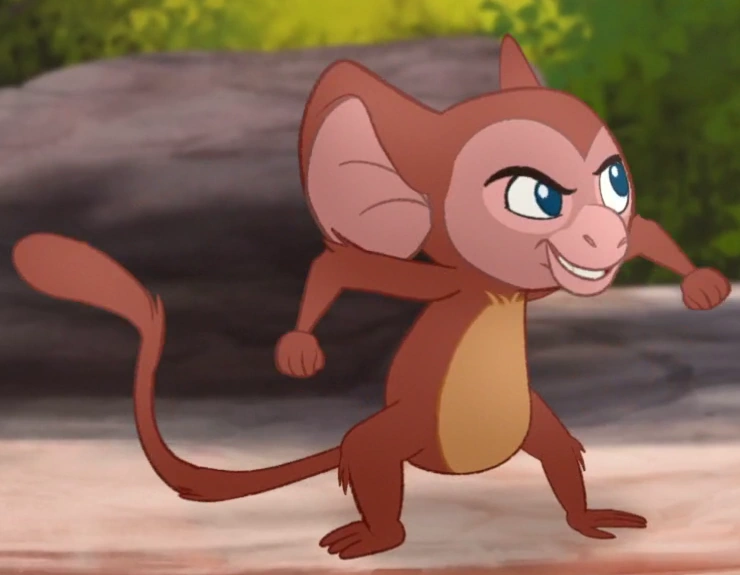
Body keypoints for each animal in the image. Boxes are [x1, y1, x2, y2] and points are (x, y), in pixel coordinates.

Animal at [11, 35, 731, 561]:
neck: (499, 297)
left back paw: (585, 516)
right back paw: (378, 535)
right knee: (368, 450)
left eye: (616, 182)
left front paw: (701, 282)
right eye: (537, 197)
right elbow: (338, 266)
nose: (605, 235)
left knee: (559, 451)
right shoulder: (443, 278)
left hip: (531, 419)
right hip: (407, 428)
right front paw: (299, 350)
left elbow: (650, 231)